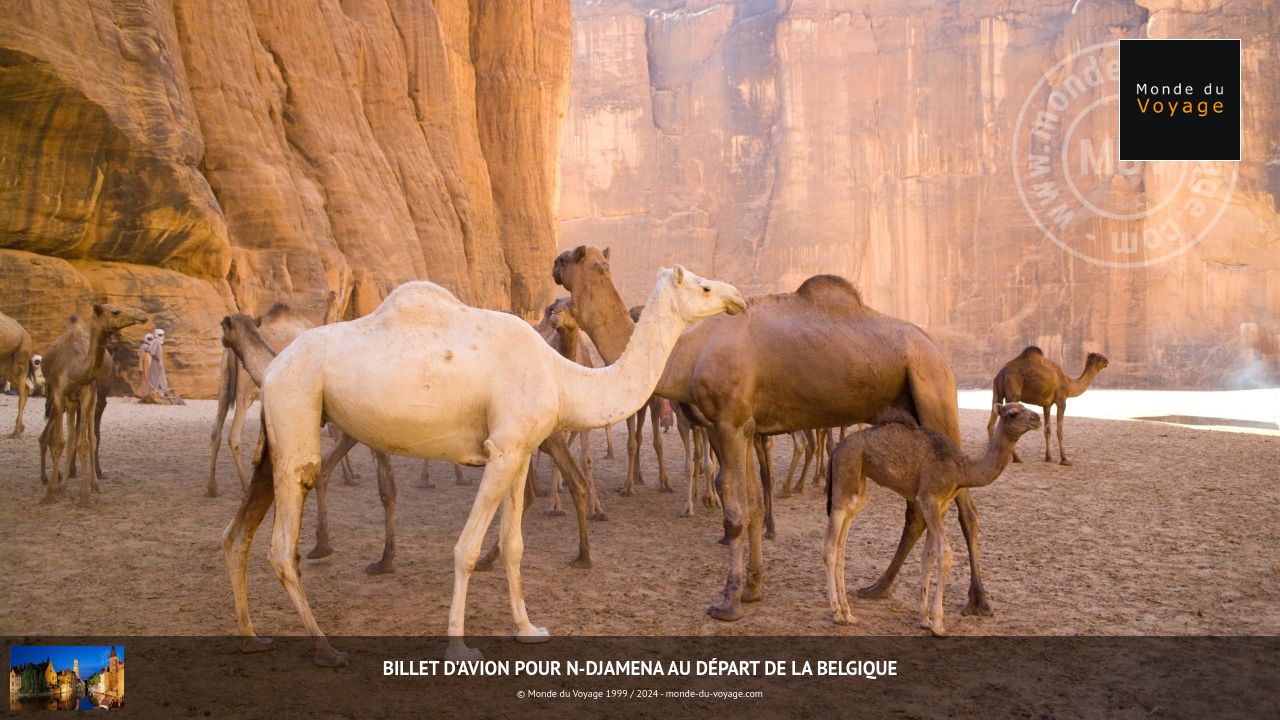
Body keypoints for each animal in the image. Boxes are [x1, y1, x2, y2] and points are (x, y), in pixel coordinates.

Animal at [0, 310, 34, 438]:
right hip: (6, 368)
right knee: (26, 389)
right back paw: (20, 429)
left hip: (21, 361)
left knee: (23, 394)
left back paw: (15, 433)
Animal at [39, 304, 146, 502]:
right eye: (115, 311)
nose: (142, 315)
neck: (74, 368)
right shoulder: (58, 394)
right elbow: (59, 442)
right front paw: (51, 492)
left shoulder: (89, 395)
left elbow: (86, 442)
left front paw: (84, 495)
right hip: (68, 403)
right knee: (65, 438)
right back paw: (60, 484)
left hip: (84, 402)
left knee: (87, 438)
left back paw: (88, 484)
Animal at [225, 266, 747, 666]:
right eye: (703, 287)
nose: (739, 298)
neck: (561, 376)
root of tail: (273, 367)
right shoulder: (503, 451)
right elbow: (467, 548)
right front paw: (458, 647)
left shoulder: (518, 451)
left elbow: (513, 546)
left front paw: (527, 627)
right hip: (296, 412)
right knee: (280, 544)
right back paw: (325, 648)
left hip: (278, 433)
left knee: (235, 536)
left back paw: (251, 637)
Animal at [555, 243, 983, 620]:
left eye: (576, 257)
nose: (555, 264)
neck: (688, 353)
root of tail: (938, 350)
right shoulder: (744, 427)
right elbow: (755, 507)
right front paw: (753, 588)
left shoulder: (727, 422)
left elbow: (735, 512)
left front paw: (727, 602)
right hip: (909, 414)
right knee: (916, 509)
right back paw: (878, 587)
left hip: (934, 395)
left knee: (965, 504)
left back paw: (977, 601)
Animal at [819, 404, 1039, 632]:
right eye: (1012, 413)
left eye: (1024, 406)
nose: (1037, 418)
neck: (961, 469)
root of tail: (836, 451)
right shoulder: (928, 498)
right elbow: (946, 553)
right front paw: (938, 623)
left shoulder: (942, 506)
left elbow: (929, 556)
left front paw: (925, 619)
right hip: (845, 475)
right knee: (830, 545)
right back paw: (837, 613)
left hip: (857, 485)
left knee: (842, 544)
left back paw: (849, 613)